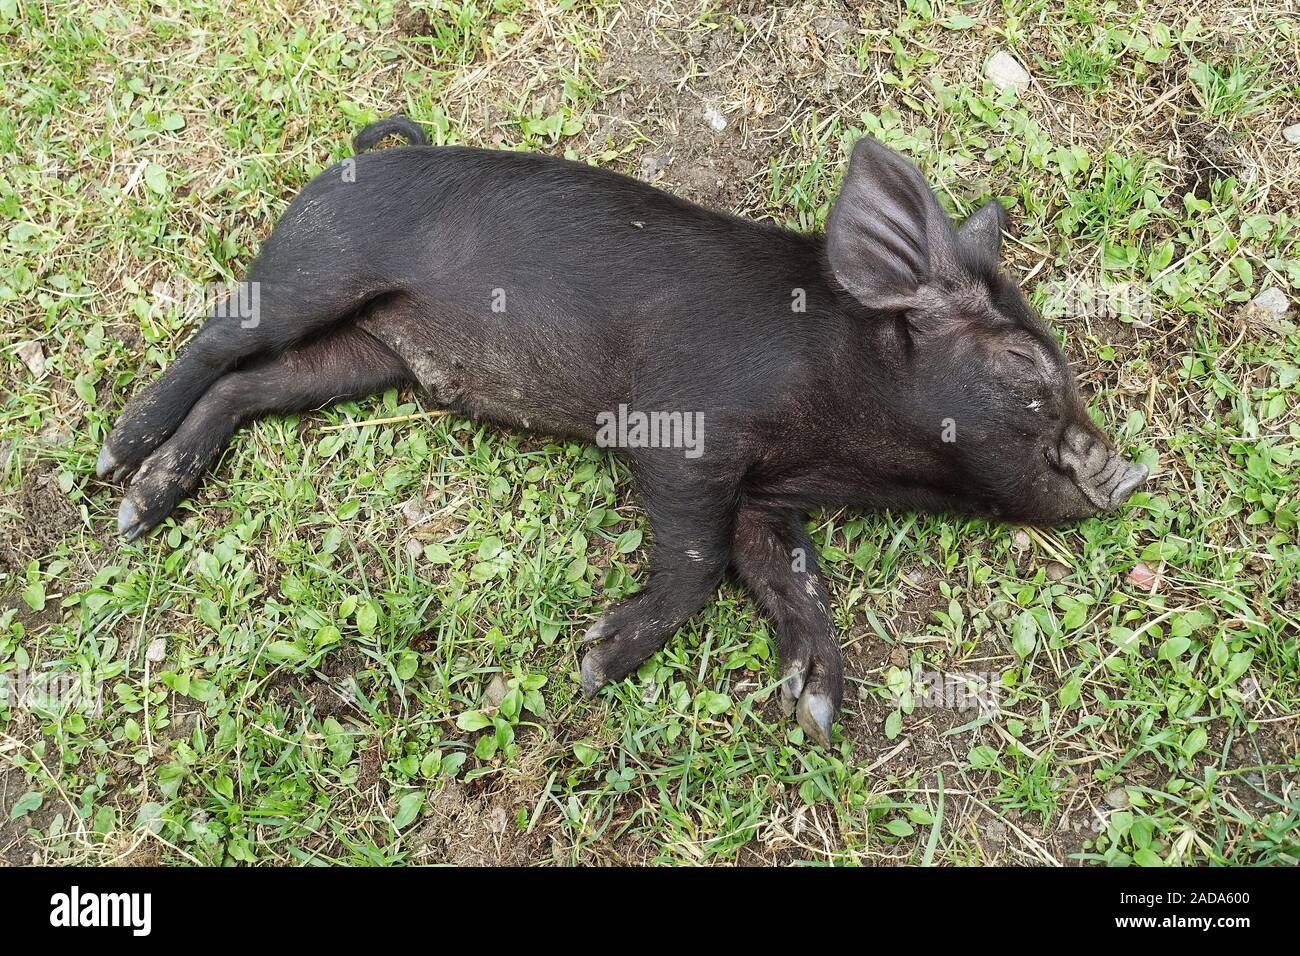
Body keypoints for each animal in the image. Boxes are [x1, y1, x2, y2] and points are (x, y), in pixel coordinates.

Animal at [97, 115, 1147, 745]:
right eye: (1027, 368)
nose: (1128, 472)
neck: (837, 434)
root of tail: (359, 156)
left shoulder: (766, 496)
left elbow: (788, 575)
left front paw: (815, 708)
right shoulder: (681, 431)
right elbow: (696, 562)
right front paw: (596, 662)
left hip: (367, 356)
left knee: (249, 388)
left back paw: (142, 507)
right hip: (312, 270)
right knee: (219, 337)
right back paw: (116, 467)